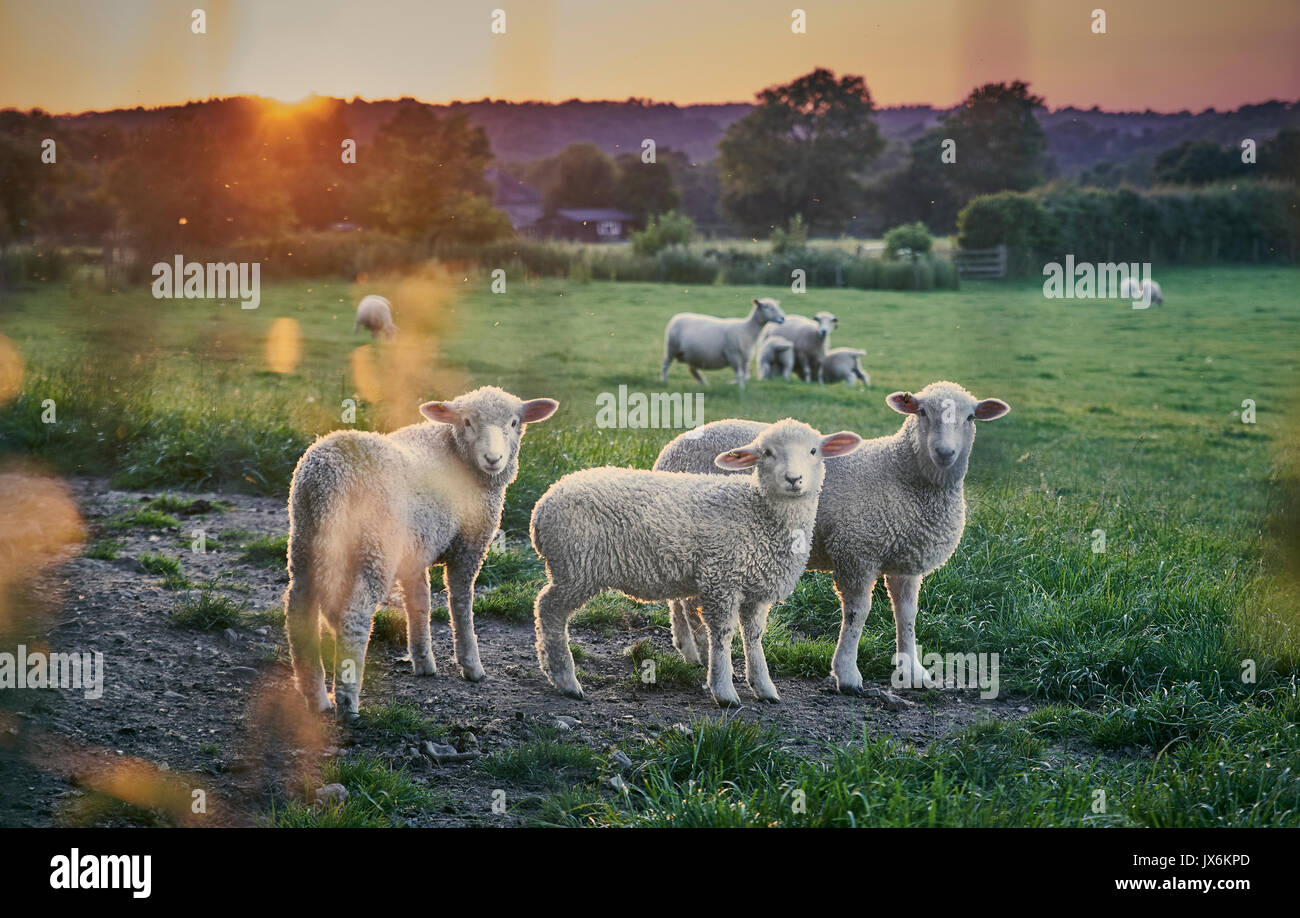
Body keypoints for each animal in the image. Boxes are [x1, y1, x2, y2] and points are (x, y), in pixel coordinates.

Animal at [284, 386, 559, 718]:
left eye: (514, 423)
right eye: (467, 422)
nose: (493, 459)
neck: (454, 451)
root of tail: (328, 477)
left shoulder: (415, 549)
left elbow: (419, 602)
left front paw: (423, 660)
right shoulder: (469, 543)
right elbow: (461, 602)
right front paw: (471, 665)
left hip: (306, 539)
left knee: (299, 611)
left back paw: (317, 698)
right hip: (375, 547)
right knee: (354, 616)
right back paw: (348, 702)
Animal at [530, 419, 863, 706]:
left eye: (813, 451)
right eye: (767, 453)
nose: (794, 479)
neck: (758, 511)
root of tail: (544, 504)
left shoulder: (756, 589)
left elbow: (753, 636)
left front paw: (764, 687)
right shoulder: (722, 579)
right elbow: (722, 634)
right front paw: (724, 690)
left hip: (572, 567)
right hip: (576, 567)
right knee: (548, 609)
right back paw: (565, 679)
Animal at [654, 381, 1010, 695]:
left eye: (970, 417)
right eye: (921, 411)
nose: (945, 452)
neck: (902, 473)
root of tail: (672, 446)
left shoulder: (906, 561)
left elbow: (907, 615)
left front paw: (913, 671)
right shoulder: (857, 552)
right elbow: (858, 612)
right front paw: (848, 673)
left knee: (678, 597)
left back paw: (686, 647)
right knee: (687, 601)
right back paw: (698, 652)